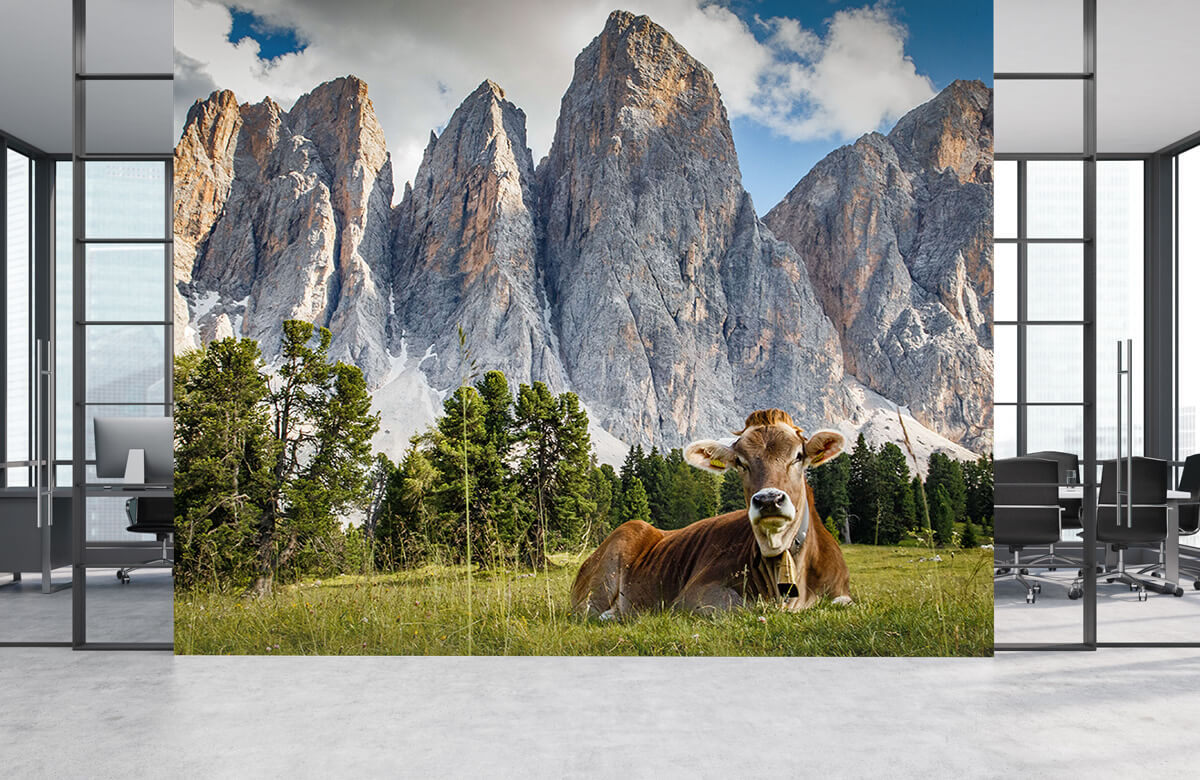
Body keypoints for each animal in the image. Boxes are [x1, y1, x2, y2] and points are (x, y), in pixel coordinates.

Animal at [571, 409, 851, 618]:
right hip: (602, 578)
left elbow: (841, 602)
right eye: (740, 462)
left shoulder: (843, 593)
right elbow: (743, 607)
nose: (769, 499)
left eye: (798, 456)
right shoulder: (692, 596)